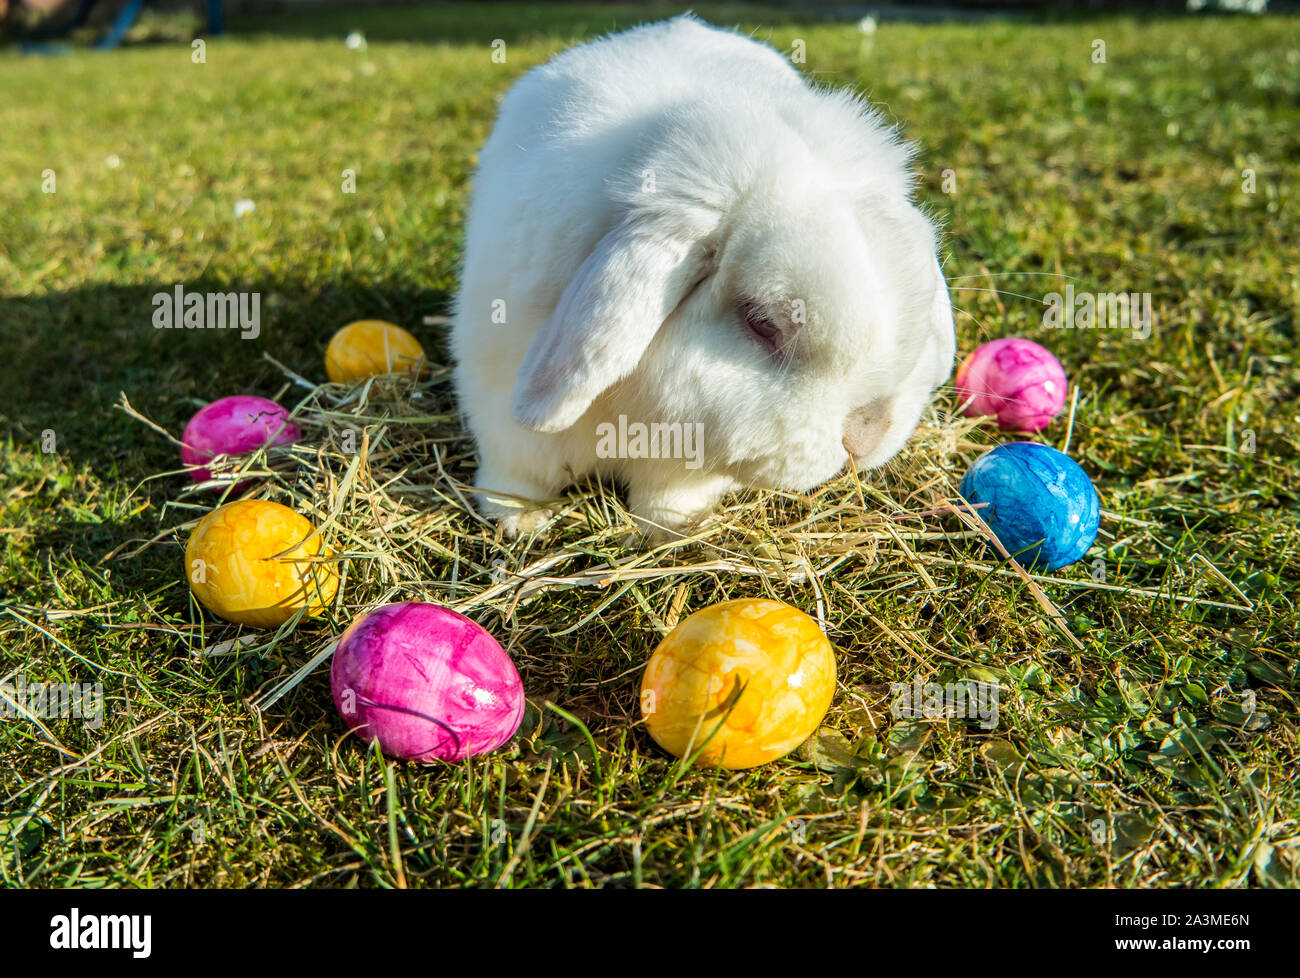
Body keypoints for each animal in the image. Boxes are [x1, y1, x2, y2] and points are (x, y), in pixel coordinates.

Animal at [451, 14, 956, 536]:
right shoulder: (505, 416)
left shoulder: (682, 468)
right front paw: (519, 520)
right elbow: (516, 472)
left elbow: (671, 495)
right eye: (761, 323)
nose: (866, 435)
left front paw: (673, 528)